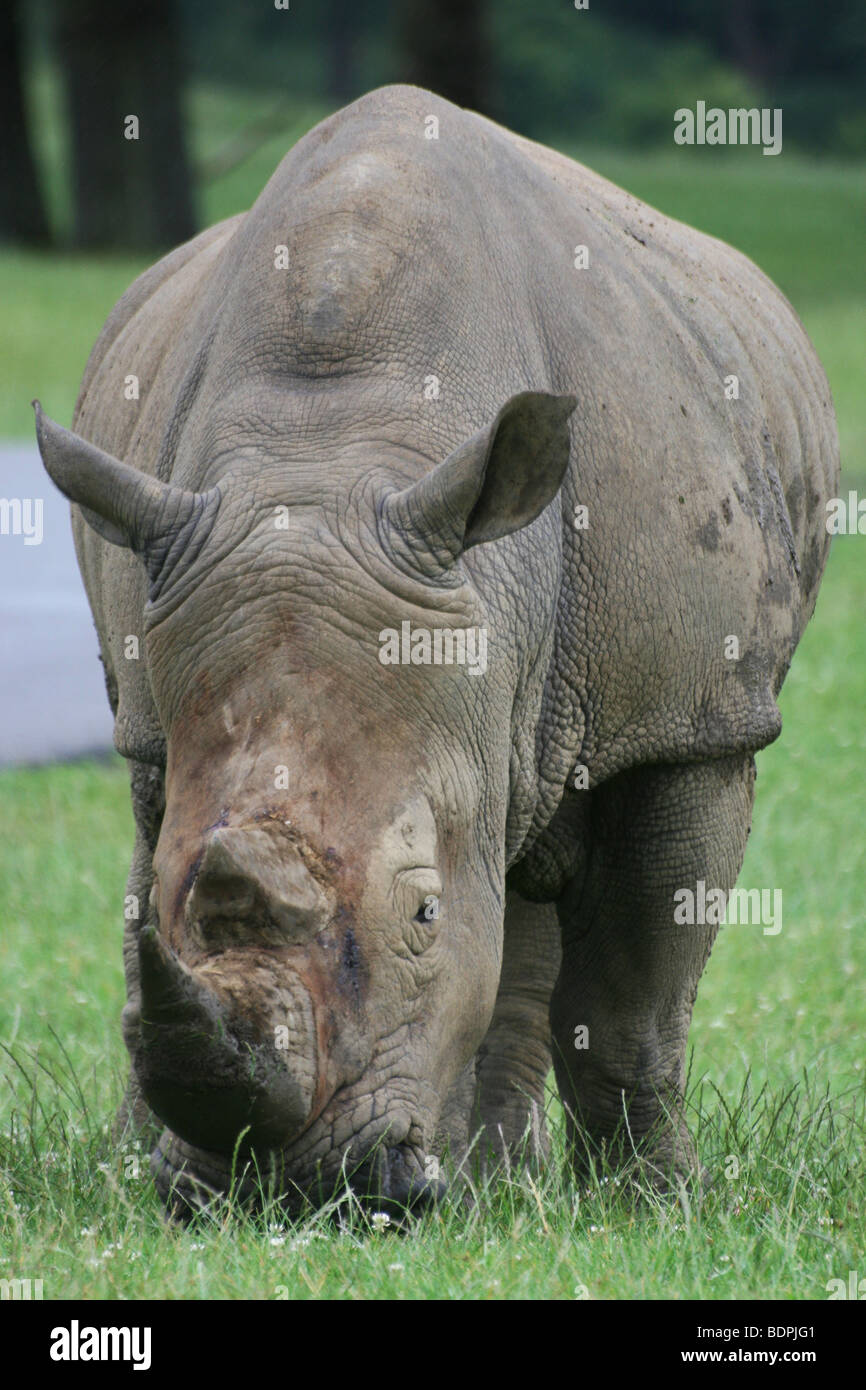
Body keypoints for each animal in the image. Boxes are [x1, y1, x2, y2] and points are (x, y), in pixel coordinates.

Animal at [35, 85, 838, 1216]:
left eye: (421, 910)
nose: (281, 1194)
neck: (330, 455)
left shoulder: (687, 717)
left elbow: (632, 998)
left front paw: (656, 1204)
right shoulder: (159, 712)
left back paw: (503, 1173)